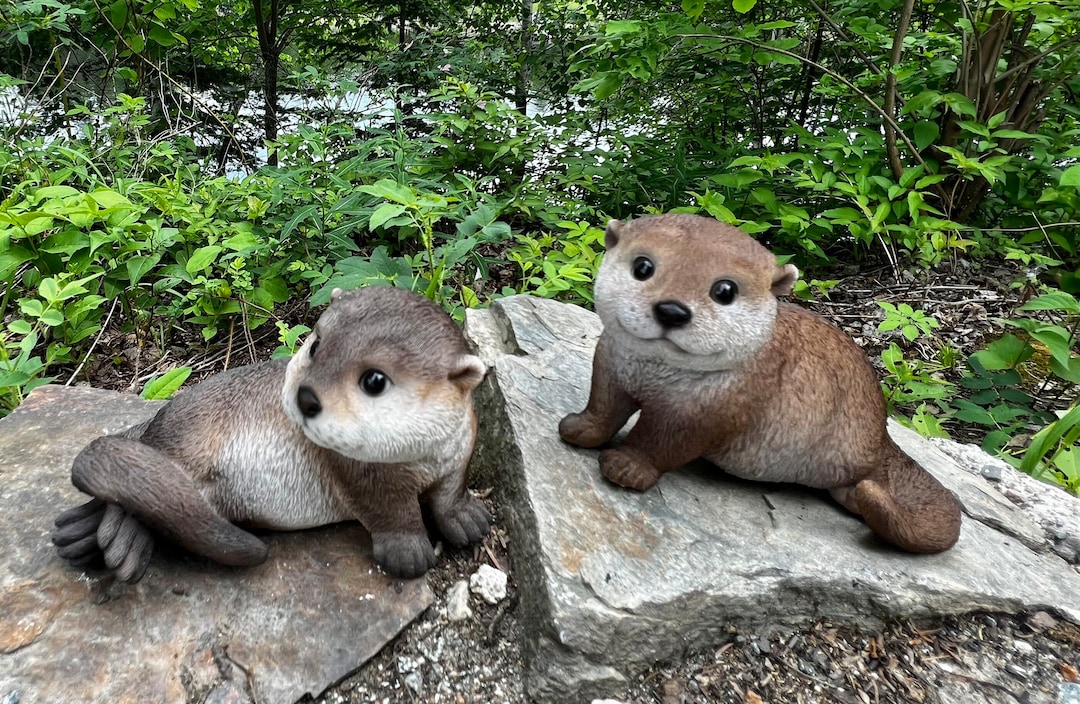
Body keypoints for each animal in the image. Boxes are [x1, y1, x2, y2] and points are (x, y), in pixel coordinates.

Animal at [52, 286, 492, 581]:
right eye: (315, 345)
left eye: (374, 380)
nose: (307, 396)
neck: (422, 455)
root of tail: (164, 414)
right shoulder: (361, 471)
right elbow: (390, 509)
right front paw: (408, 552)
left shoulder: (462, 449)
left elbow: (451, 493)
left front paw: (468, 520)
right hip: (187, 436)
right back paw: (118, 543)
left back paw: (79, 536)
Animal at [559, 214, 962, 553]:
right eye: (643, 267)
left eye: (724, 290)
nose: (672, 311)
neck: (654, 373)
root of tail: (879, 440)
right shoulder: (611, 363)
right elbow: (604, 406)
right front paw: (578, 429)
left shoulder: (709, 410)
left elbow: (662, 443)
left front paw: (627, 467)